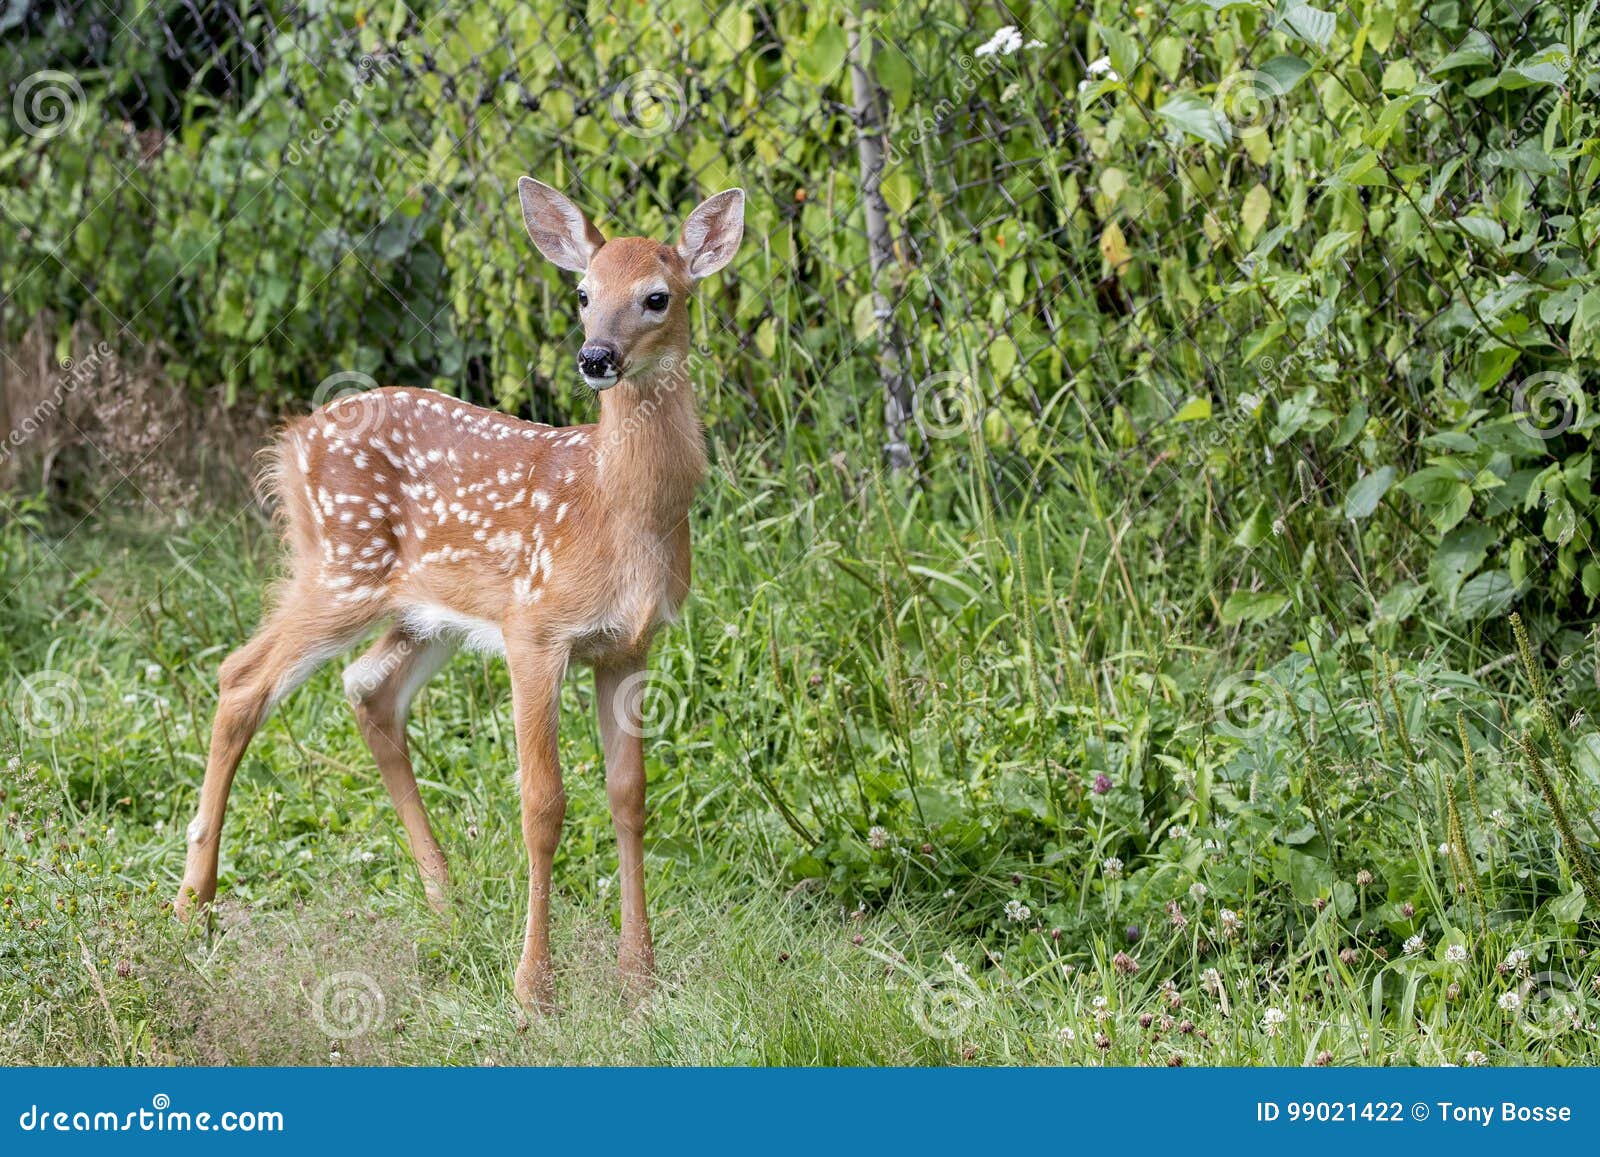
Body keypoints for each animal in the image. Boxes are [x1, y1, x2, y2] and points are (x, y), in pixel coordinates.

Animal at [174, 179, 745, 1010]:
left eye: (657, 296)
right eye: (582, 292)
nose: (595, 357)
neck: (619, 511)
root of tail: (294, 438)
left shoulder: (629, 645)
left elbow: (630, 795)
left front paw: (640, 973)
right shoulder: (535, 627)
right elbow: (543, 803)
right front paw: (533, 988)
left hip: (423, 612)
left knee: (368, 688)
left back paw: (447, 900)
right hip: (340, 567)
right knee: (241, 676)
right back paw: (194, 903)